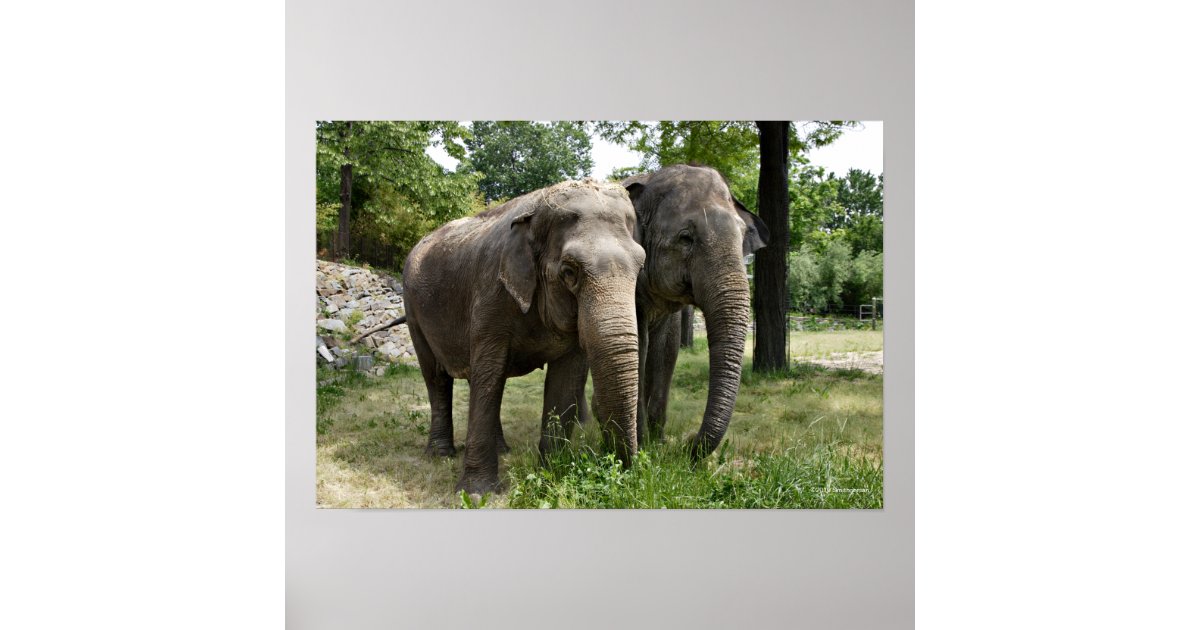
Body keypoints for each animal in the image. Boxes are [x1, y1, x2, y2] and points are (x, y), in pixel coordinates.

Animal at [401, 179, 646, 494]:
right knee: (437, 377)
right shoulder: (492, 293)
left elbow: (565, 379)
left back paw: (501, 449)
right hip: (413, 310)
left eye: (641, 267)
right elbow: (489, 370)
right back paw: (441, 454)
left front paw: (550, 477)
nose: (621, 471)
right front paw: (476, 493)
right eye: (569, 271)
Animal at [609, 164, 770, 461]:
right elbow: (638, 347)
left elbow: (667, 350)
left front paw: (658, 443)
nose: (687, 445)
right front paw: (642, 447)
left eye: (742, 238)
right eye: (686, 238)